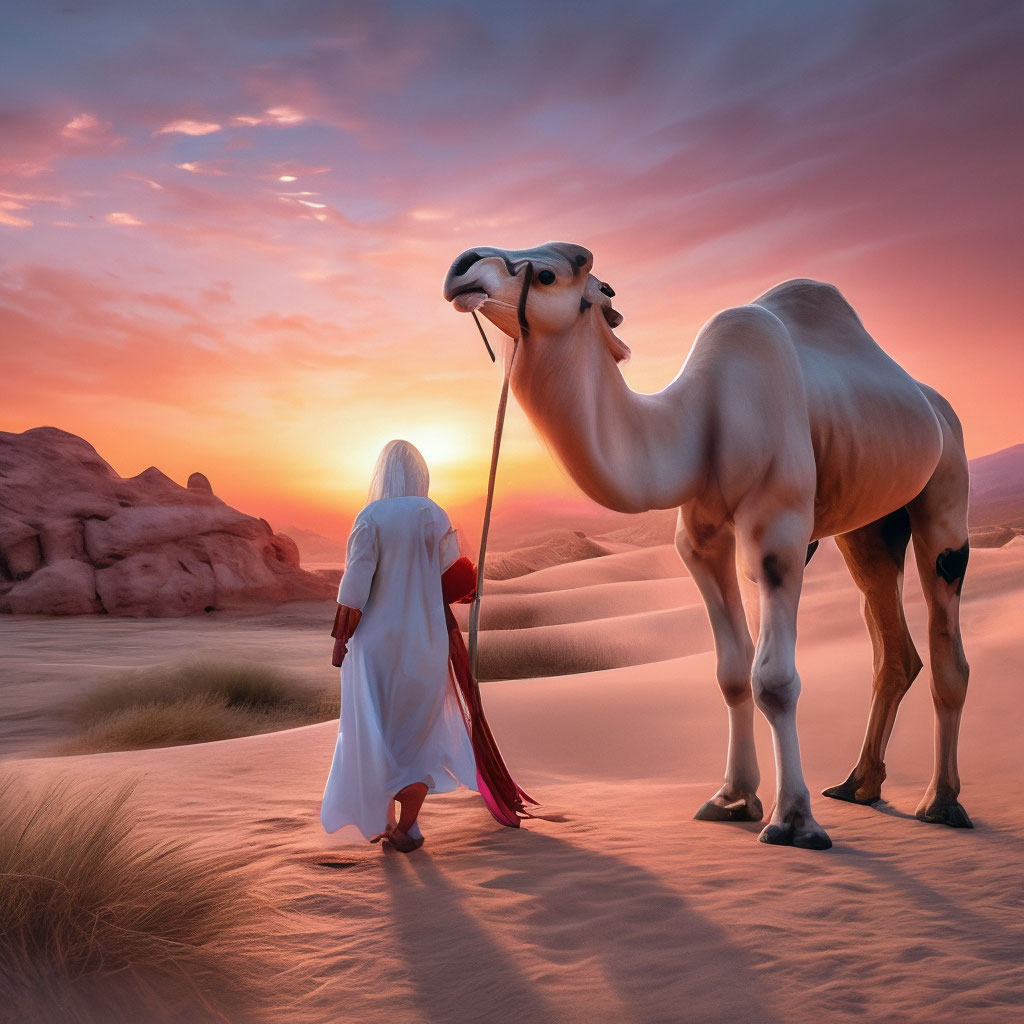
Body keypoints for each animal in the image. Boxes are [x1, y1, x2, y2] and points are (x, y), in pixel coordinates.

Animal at [443, 242, 972, 850]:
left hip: (946, 484)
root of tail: (935, 405)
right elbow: (732, 672)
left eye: (549, 275)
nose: (462, 267)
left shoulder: (779, 534)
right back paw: (858, 784)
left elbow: (775, 680)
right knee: (891, 642)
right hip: (868, 522)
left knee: (946, 636)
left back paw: (942, 802)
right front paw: (734, 799)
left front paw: (794, 821)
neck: (700, 421)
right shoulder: (699, 542)